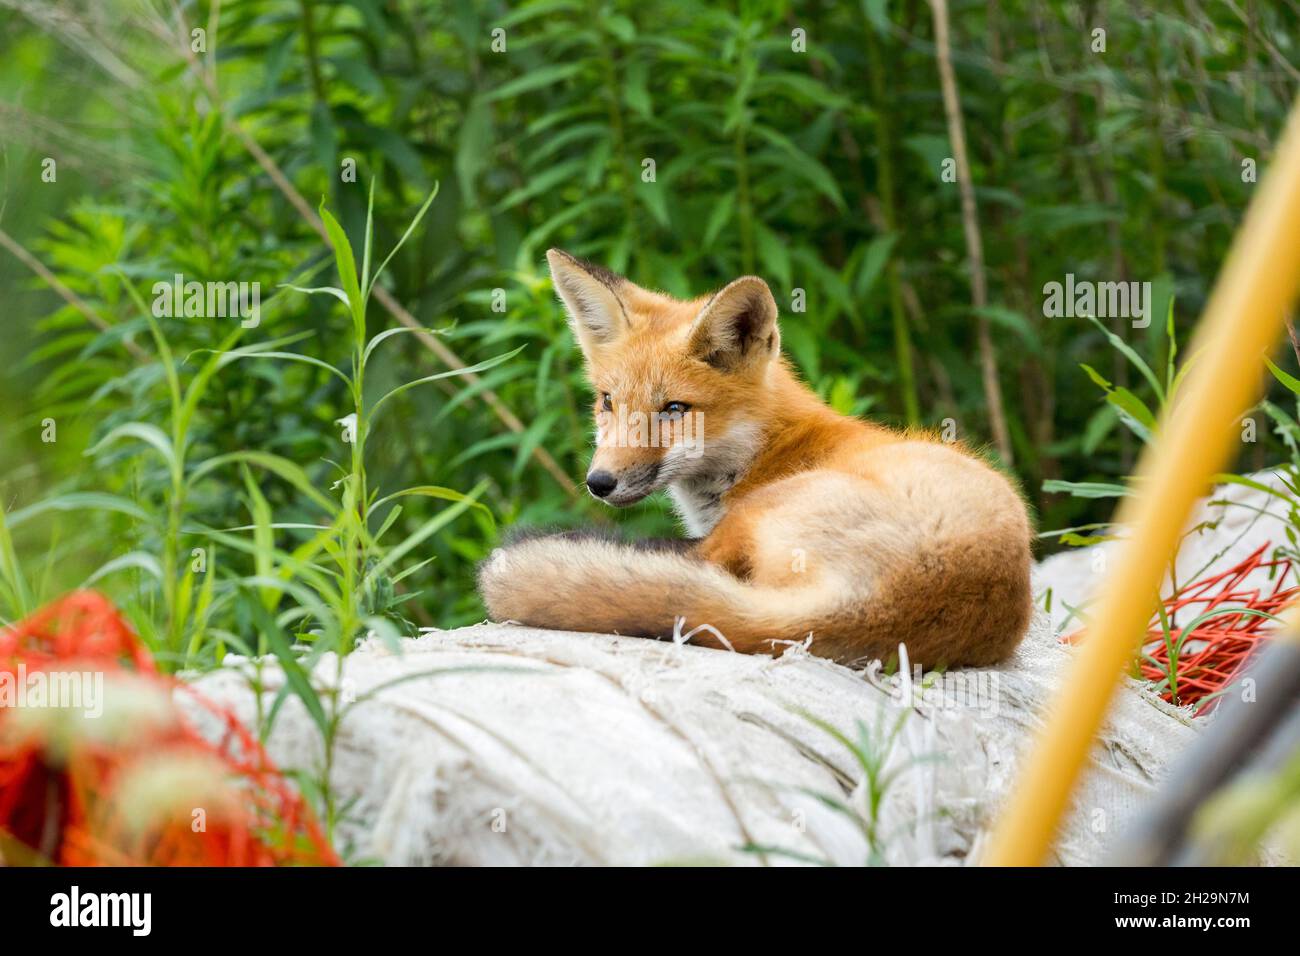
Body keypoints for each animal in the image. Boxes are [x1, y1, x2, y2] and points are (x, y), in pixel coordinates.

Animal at [476, 249, 1034, 667]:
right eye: (608, 401)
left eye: (674, 409)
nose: (599, 482)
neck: (761, 449)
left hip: (759, 513)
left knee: (693, 564)